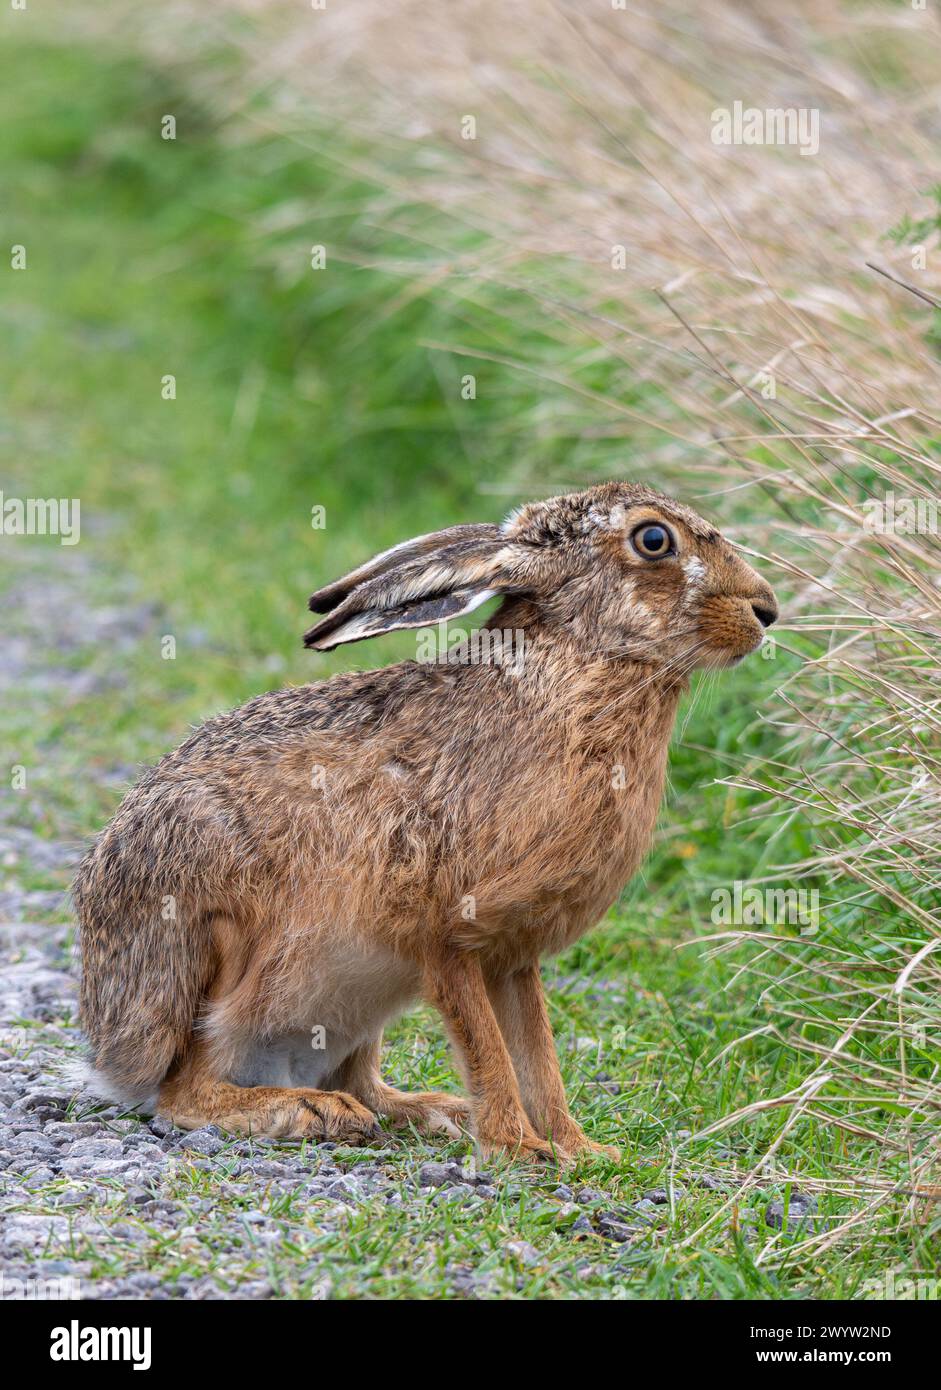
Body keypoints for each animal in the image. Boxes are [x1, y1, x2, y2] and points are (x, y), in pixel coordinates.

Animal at [74, 481, 778, 1161]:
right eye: (654, 539)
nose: (765, 610)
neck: (576, 675)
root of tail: (111, 1048)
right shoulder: (445, 931)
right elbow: (489, 1048)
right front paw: (519, 1149)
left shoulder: (513, 955)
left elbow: (538, 1054)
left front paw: (581, 1150)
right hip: (216, 940)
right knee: (183, 1089)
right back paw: (307, 1112)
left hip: (354, 1006)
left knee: (359, 1080)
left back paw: (427, 1112)